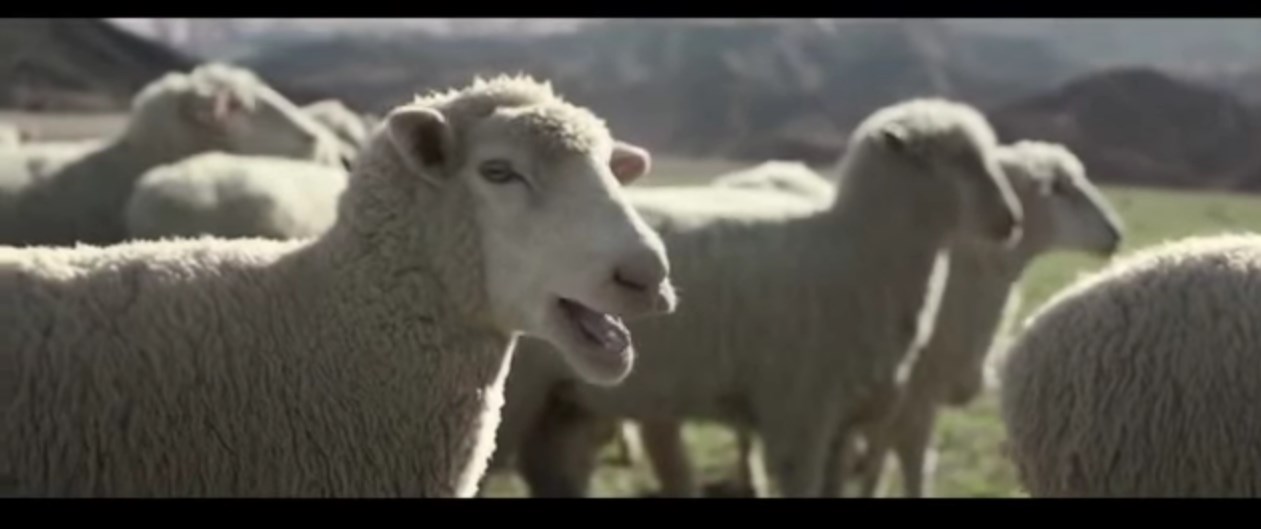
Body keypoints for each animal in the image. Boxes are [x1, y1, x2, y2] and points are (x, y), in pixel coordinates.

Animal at [488, 98, 1025, 498]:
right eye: (954, 158)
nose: (1011, 221)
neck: (857, 250)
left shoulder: (843, 423)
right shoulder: (799, 415)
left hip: (565, 398)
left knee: (550, 471)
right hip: (519, 392)